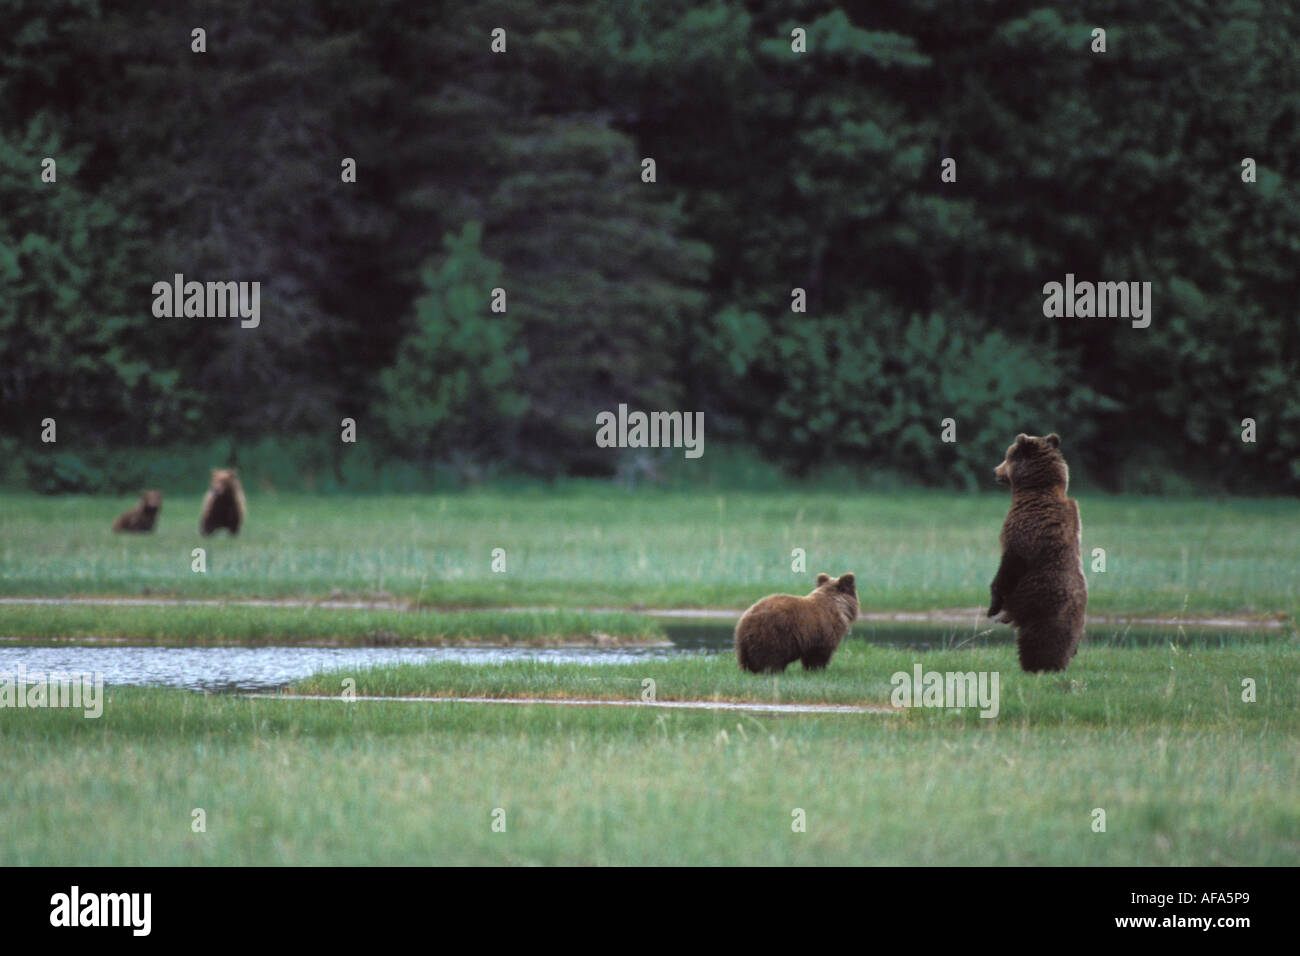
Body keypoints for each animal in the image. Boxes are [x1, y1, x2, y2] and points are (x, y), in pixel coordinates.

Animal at [988, 433, 1087, 672]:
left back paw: (1039, 666)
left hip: (1044, 610)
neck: (1037, 489)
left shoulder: (1024, 528)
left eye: (1007, 456)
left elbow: (1011, 562)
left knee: (1038, 642)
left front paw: (993, 605)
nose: (995, 470)